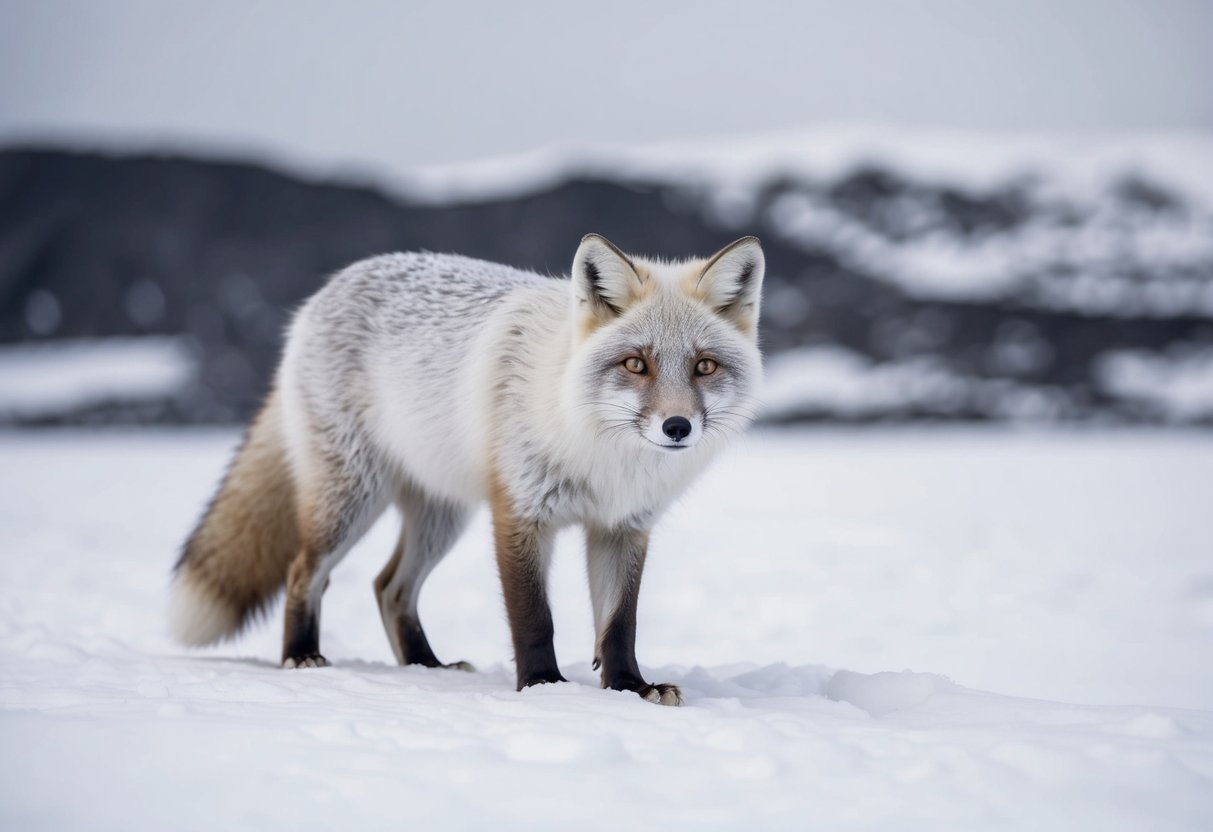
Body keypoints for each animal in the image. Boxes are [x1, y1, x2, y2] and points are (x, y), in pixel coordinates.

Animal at [169, 233, 764, 705]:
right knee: (305, 572)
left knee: (390, 587)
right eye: (636, 364)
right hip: (351, 500)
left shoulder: (622, 526)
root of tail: (329, 288)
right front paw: (543, 687)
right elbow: (534, 618)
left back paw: (426, 665)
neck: (601, 455)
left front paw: (630, 688)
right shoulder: (520, 512)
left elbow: (620, 623)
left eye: (704, 366)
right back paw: (301, 656)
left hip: (441, 514)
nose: (677, 427)